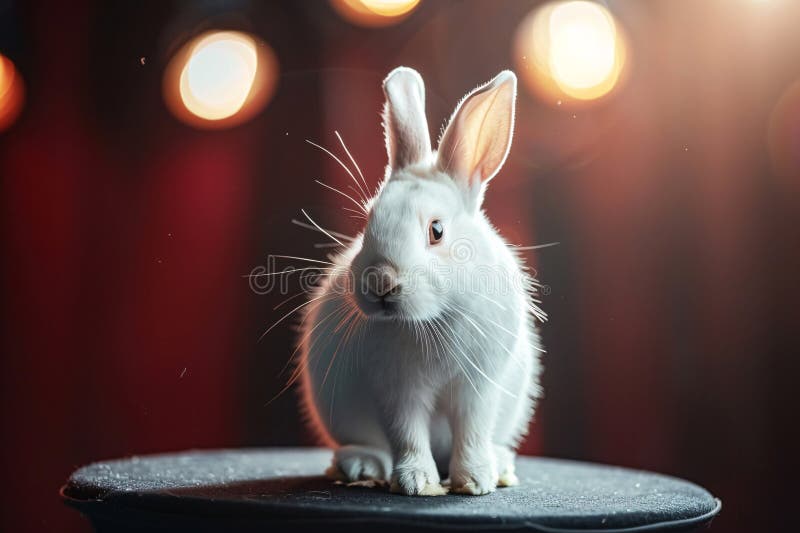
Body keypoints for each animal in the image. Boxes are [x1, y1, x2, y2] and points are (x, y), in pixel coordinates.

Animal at [296, 67, 544, 496]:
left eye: (437, 230)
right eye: (369, 220)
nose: (381, 281)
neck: (433, 318)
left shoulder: (478, 385)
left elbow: (472, 430)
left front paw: (475, 480)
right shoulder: (397, 390)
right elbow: (407, 433)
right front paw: (415, 481)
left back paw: (499, 464)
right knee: (370, 444)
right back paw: (361, 466)